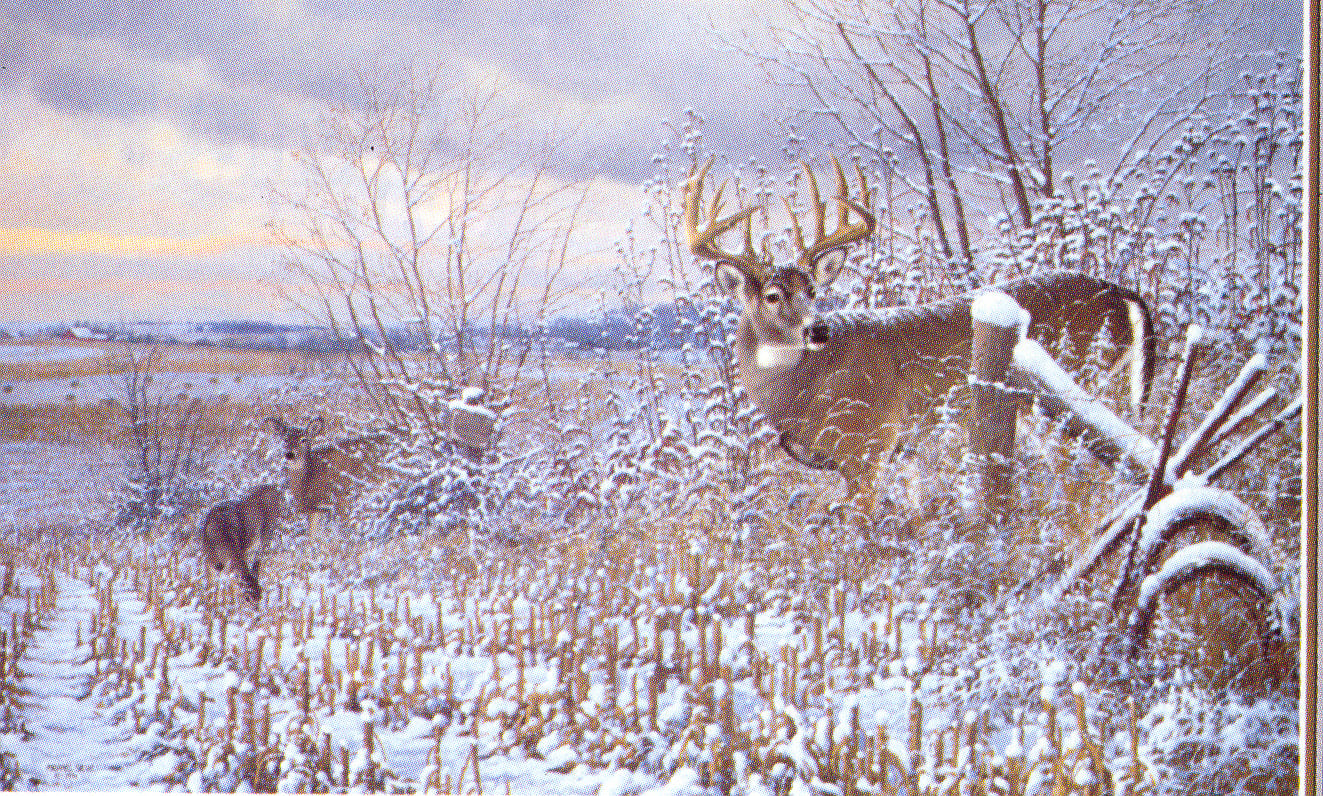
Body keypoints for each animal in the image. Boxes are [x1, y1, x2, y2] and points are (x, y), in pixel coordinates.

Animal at [266, 416, 396, 539]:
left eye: (304, 440)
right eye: (285, 439)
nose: (289, 454)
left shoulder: (341, 499)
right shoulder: (315, 511)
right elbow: (312, 536)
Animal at [683, 155, 1155, 521]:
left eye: (813, 290)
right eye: (773, 295)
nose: (817, 329)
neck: (803, 390)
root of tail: (1123, 292)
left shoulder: (868, 443)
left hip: (1080, 384)